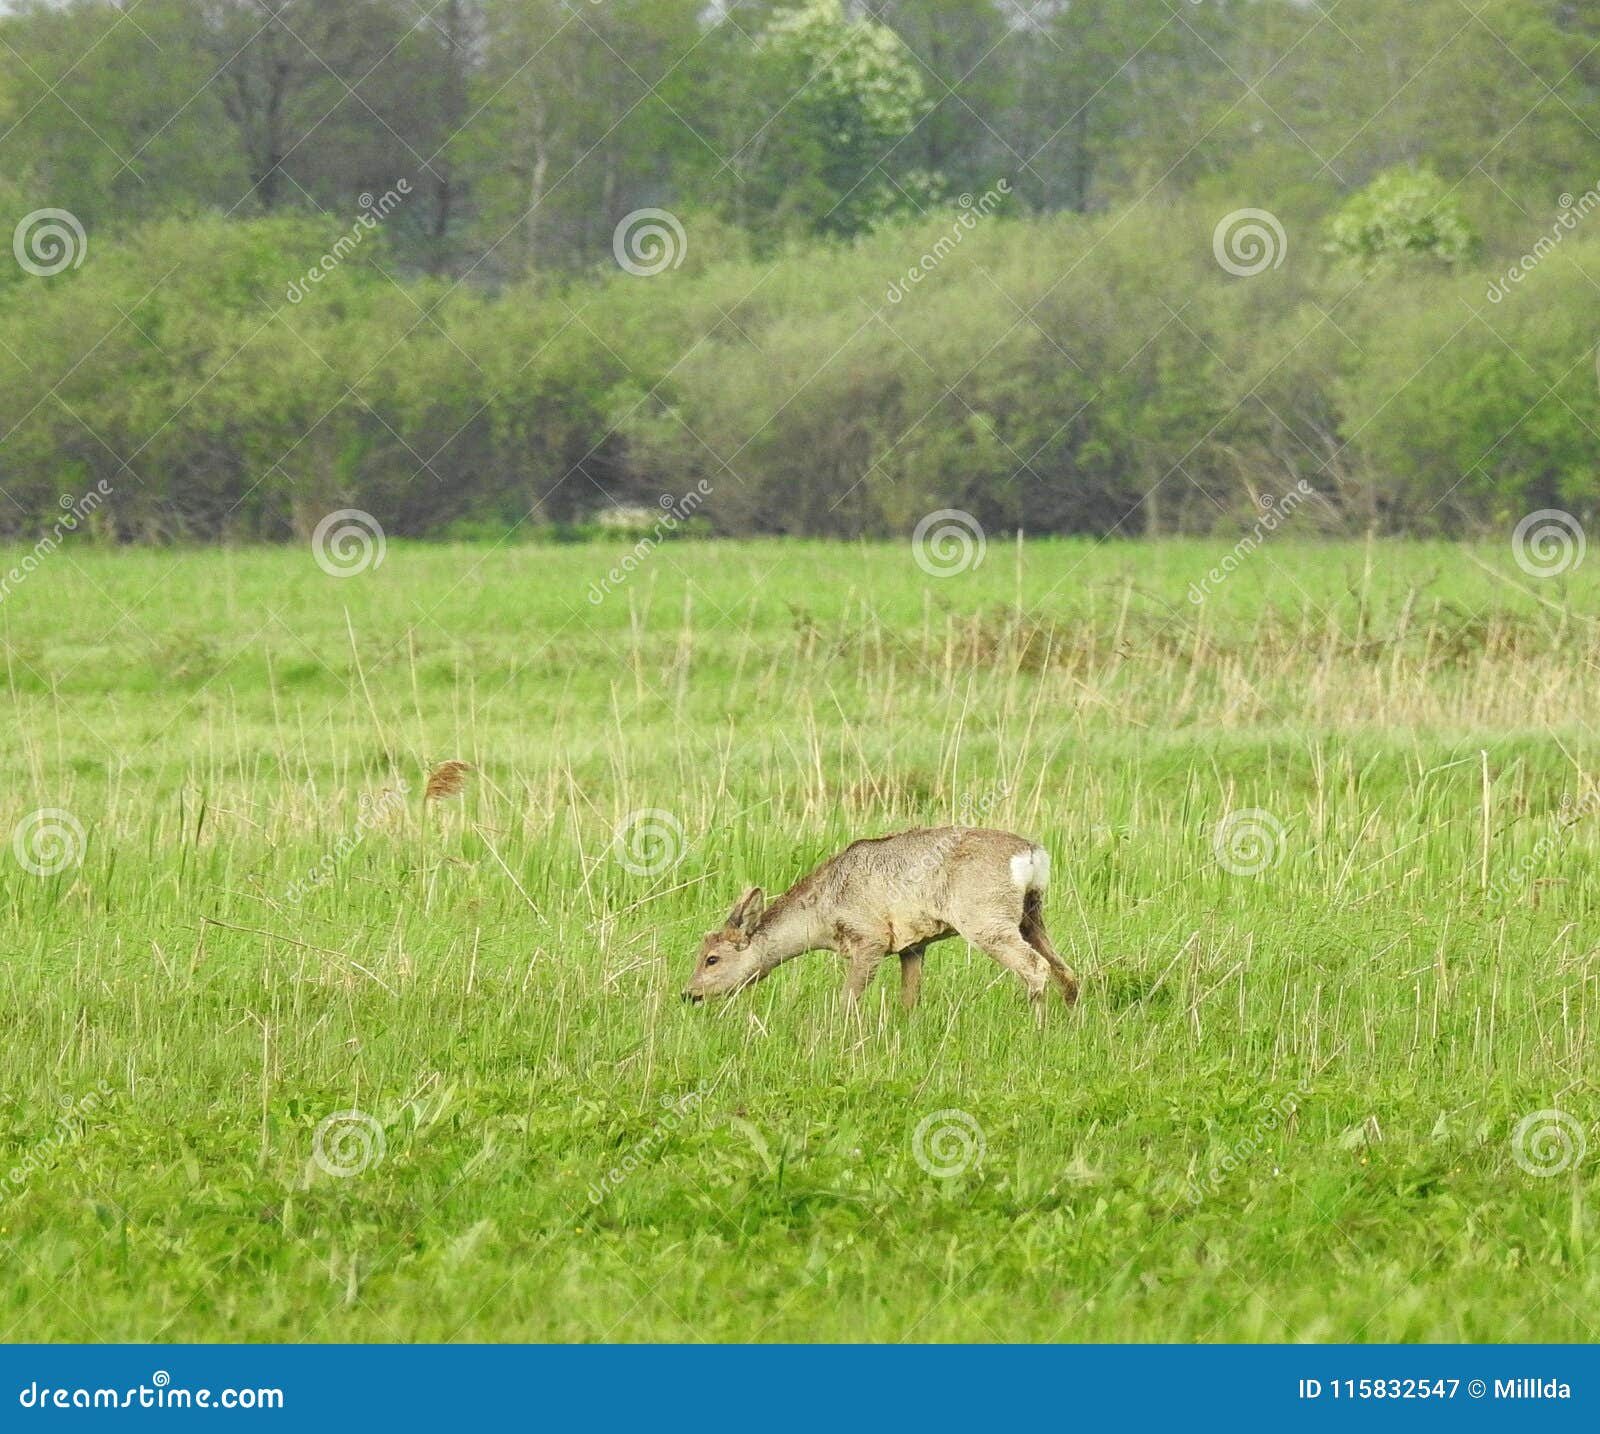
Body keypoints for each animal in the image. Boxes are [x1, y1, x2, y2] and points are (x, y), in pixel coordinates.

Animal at [681, 826, 1078, 1014]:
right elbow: (909, 999)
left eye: (711, 958)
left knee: (1036, 968)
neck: (822, 913)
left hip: (985, 918)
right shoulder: (913, 945)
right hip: (1031, 914)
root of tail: (1031, 853)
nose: (688, 993)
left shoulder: (868, 938)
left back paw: (1038, 1030)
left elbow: (847, 1001)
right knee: (1067, 971)